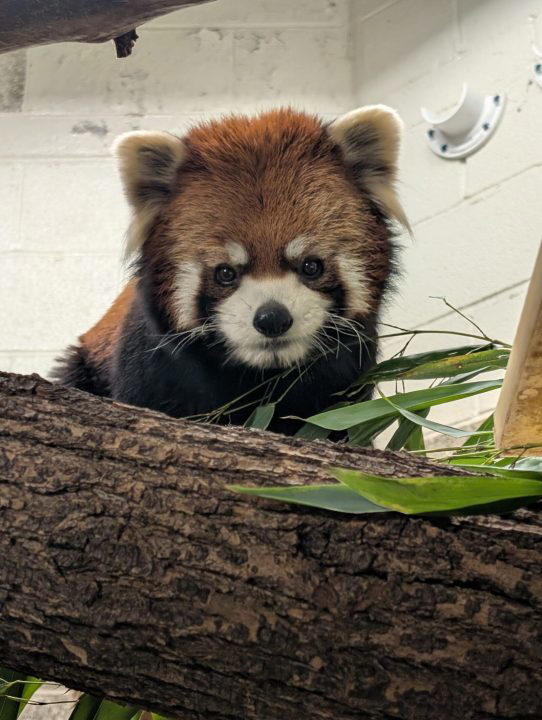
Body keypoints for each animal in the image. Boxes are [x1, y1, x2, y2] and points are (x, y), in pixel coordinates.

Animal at [53, 106, 408, 434]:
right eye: (225, 273)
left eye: (311, 266)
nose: (272, 318)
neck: (260, 376)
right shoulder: (150, 366)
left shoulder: (345, 376)